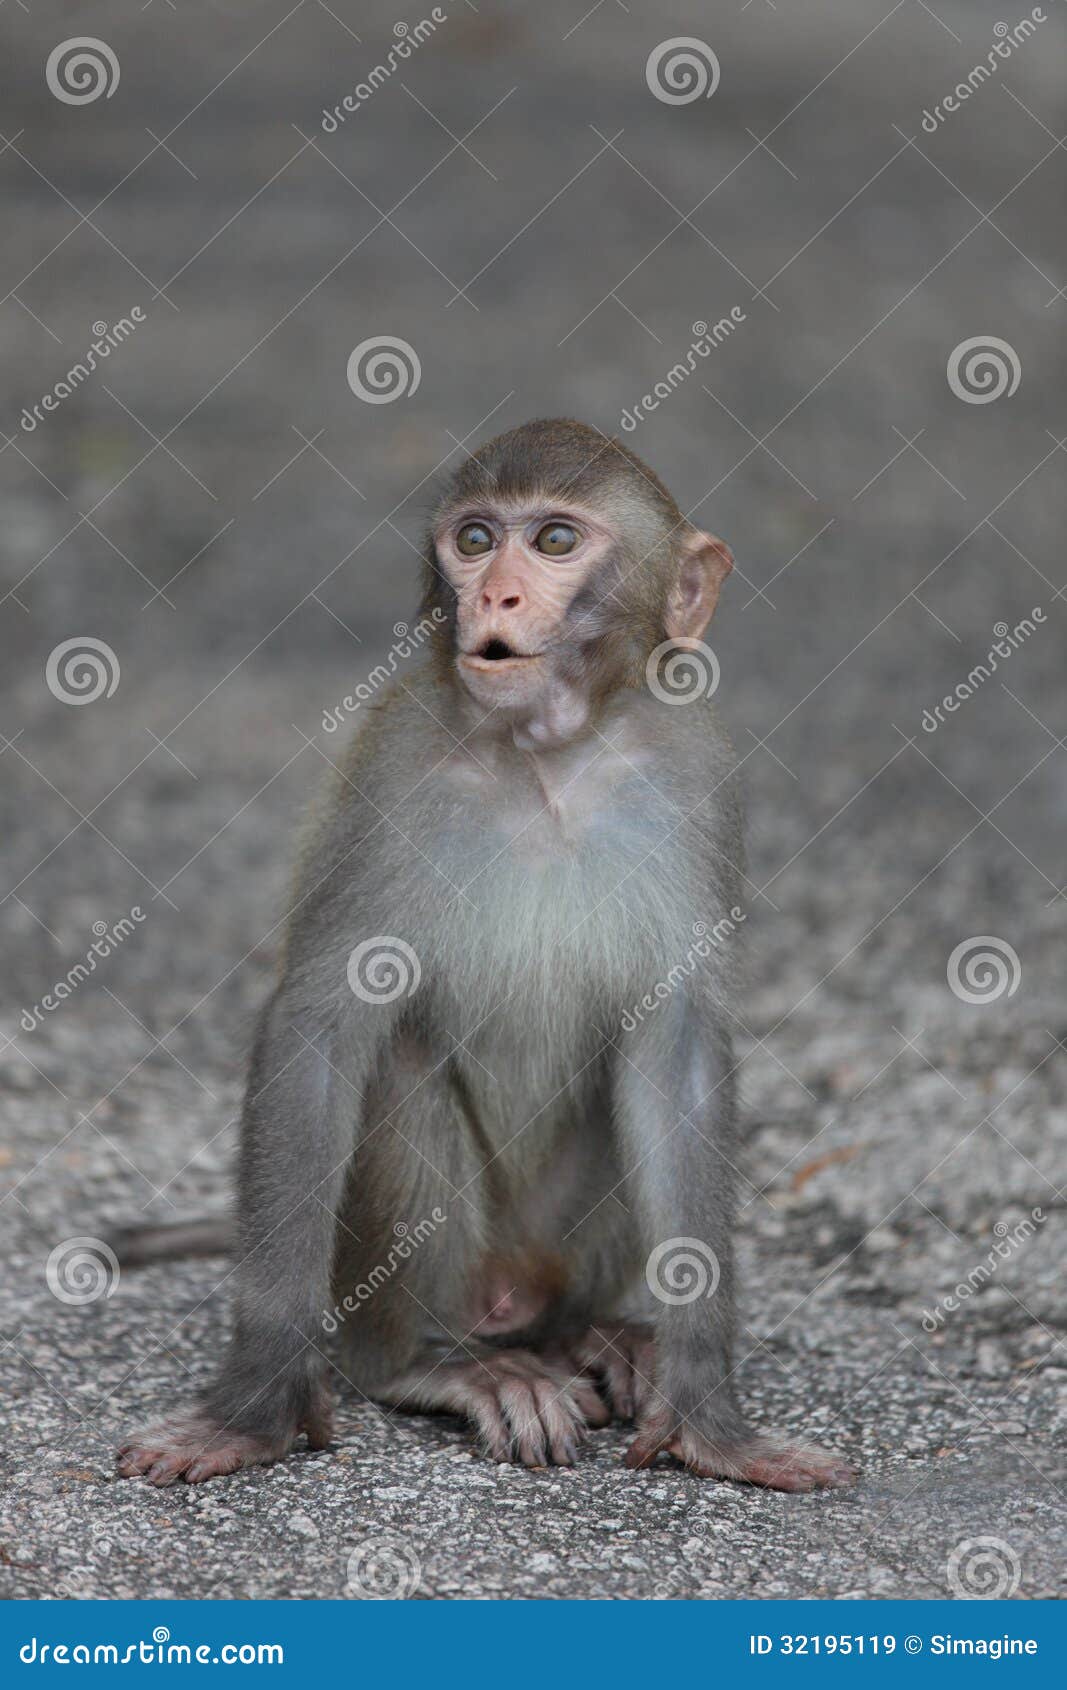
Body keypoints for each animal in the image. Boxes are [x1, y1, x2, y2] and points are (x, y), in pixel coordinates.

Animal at [116, 419, 855, 1491]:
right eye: (473, 540)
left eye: (552, 542)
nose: (494, 596)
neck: (544, 754)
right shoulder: (391, 761)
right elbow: (320, 1025)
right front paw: (254, 1408)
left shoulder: (697, 770)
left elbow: (673, 1043)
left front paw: (705, 1411)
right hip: (382, 1274)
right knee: (397, 1063)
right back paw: (443, 1364)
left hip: (552, 1250)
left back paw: (589, 1335)